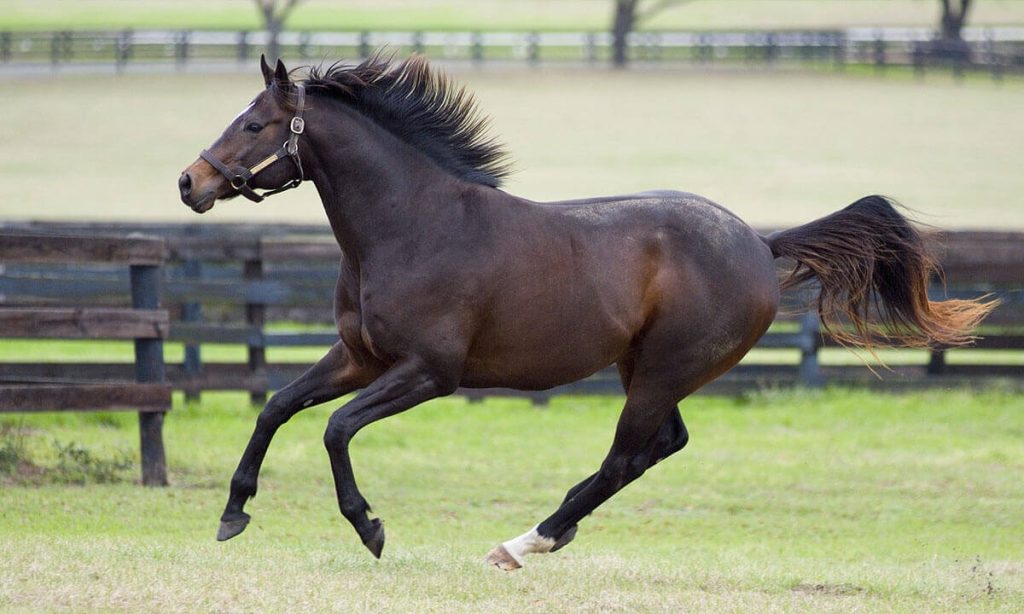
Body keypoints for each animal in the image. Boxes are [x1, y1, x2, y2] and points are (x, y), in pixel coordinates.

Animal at [178, 54, 995, 570]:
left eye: (254, 125)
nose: (190, 182)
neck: (412, 224)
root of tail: (761, 247)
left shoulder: (428, 373)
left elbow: (335, 429)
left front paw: (370, 527)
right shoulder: (360, 357)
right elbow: (277, 406)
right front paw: (231, 514)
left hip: (662, 370)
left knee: (627, 456)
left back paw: (523, 544)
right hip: (647, 369)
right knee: (661, 445)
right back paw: (547, 536)